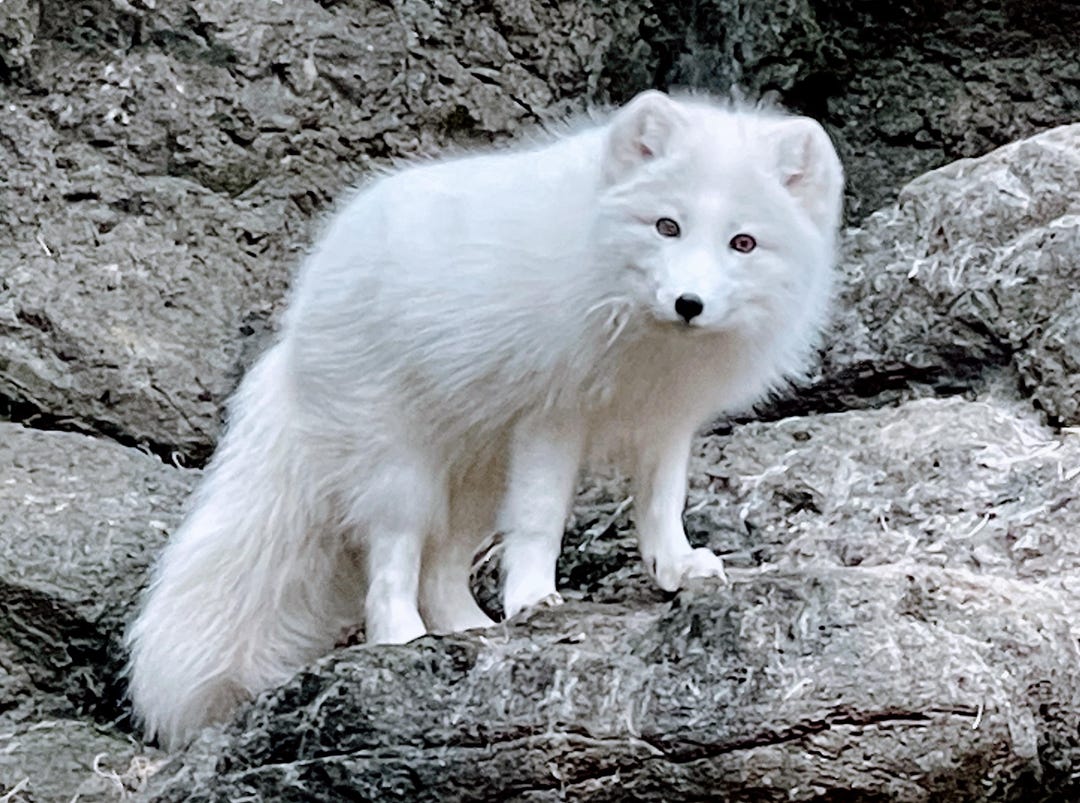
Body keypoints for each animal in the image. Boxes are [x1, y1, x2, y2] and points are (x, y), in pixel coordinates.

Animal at [126, 90, 844, 750]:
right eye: (667, 226)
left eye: (743, 243)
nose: (688, 302)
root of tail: (295, 325)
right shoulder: (553, 413)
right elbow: (541, 520)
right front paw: (533, 598)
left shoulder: (667, 421)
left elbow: (662, 504)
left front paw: (676, 567)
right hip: (400, 468)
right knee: (391, 559)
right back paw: (402, 637)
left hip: (475, 478)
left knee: (442, 565)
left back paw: (467, 631)